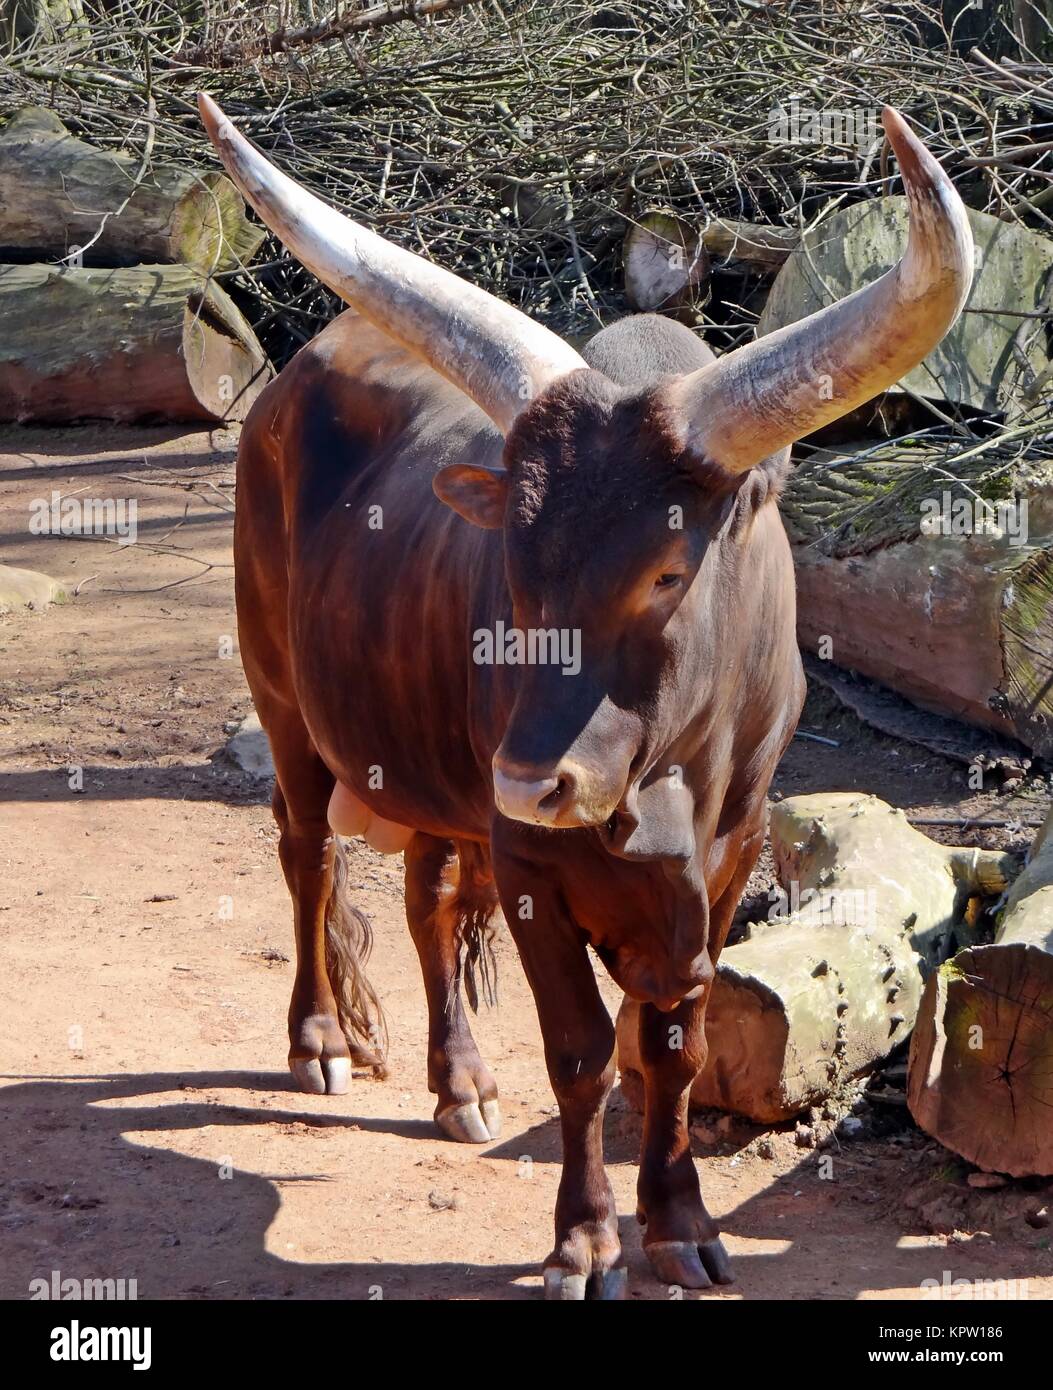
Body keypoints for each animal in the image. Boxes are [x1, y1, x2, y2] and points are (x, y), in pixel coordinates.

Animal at [198, 93, 972, 1299]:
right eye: (513, 564)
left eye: (666, 570)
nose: (533, 777)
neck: (656, 787)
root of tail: (300, 368)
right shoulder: (533, 867)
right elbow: (581, 1053)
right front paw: (585, 1240)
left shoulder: (730, 855)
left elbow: (673, 1049)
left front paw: (681, 1223)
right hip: (287, 705)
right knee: (309, 854)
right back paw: (320, 1041)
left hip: (436, 772)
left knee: (425, 896)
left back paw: (459, 1080)